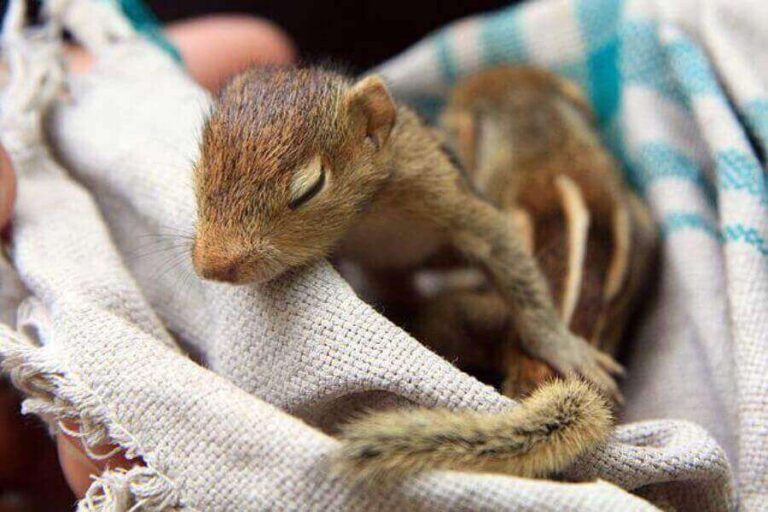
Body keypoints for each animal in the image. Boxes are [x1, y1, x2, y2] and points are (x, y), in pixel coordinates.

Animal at [191, 65, 618, 479]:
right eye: (198, 173)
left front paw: (562, 346)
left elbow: (512, 263)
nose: (213, 265)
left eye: (309, 188)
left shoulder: (452, 198)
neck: (370, 214)